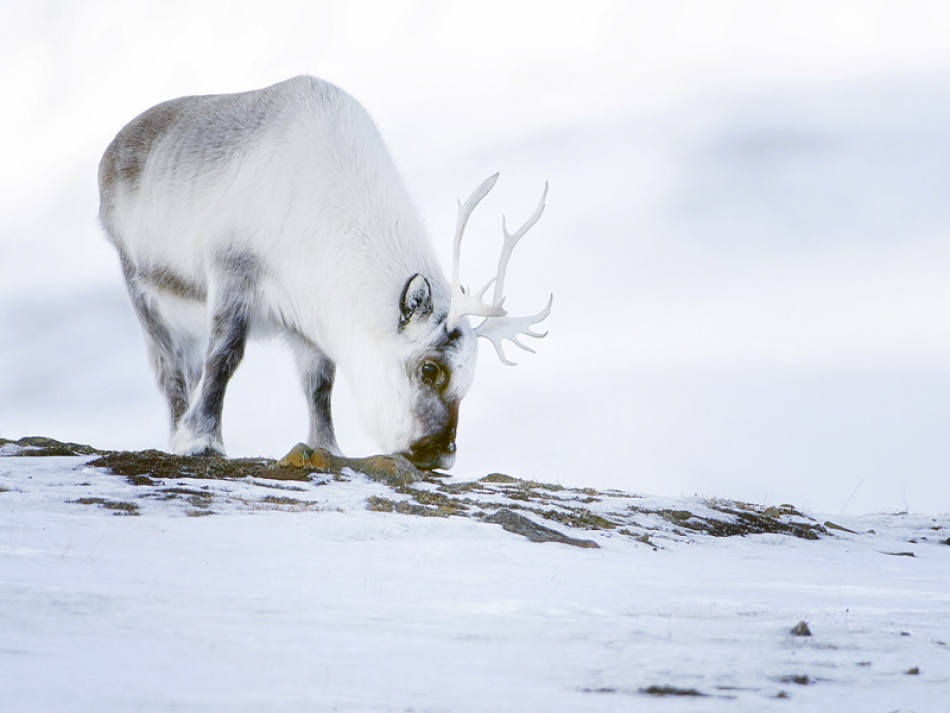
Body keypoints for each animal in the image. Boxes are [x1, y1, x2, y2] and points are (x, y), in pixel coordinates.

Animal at [98, 75, 551, 470]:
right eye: (429, 368)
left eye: (469, 381)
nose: (439, 455)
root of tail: (111, 150)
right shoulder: (232, 272)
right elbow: (224, 357)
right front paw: (201, 440)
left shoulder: (310, 315)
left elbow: (319, 383)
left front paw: (328, 447)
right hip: (143, 291)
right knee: (171, 372)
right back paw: (178, 428)